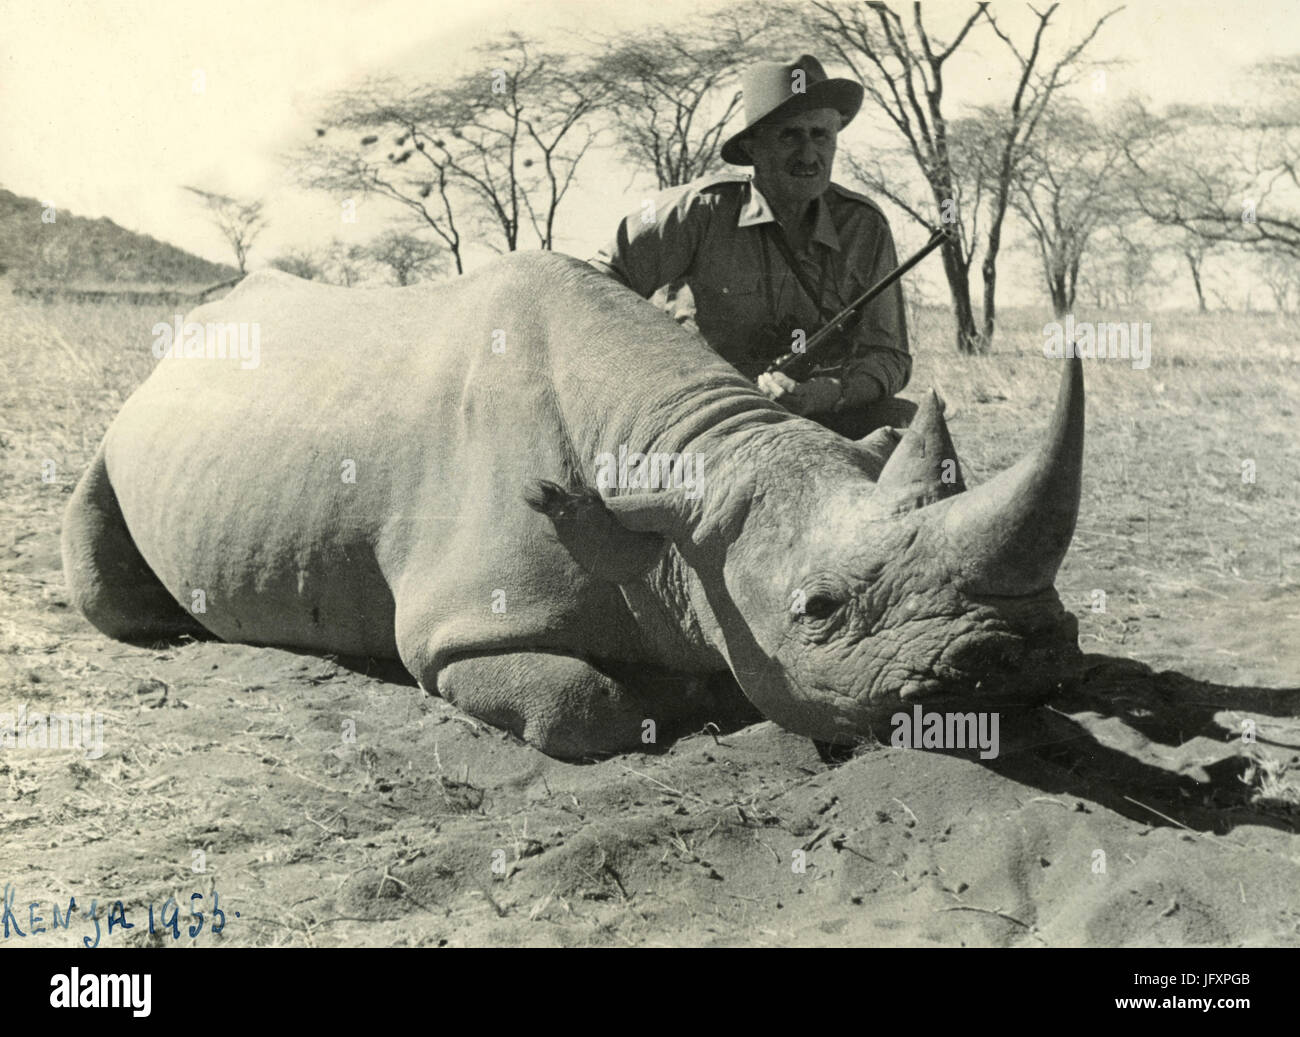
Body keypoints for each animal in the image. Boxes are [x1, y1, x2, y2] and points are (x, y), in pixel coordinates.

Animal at [62, 251, 1084, 759]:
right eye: (818, 610)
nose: (1021, 656)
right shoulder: (451, 631)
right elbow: (581, 704)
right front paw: (678, 698)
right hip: (123, 425)